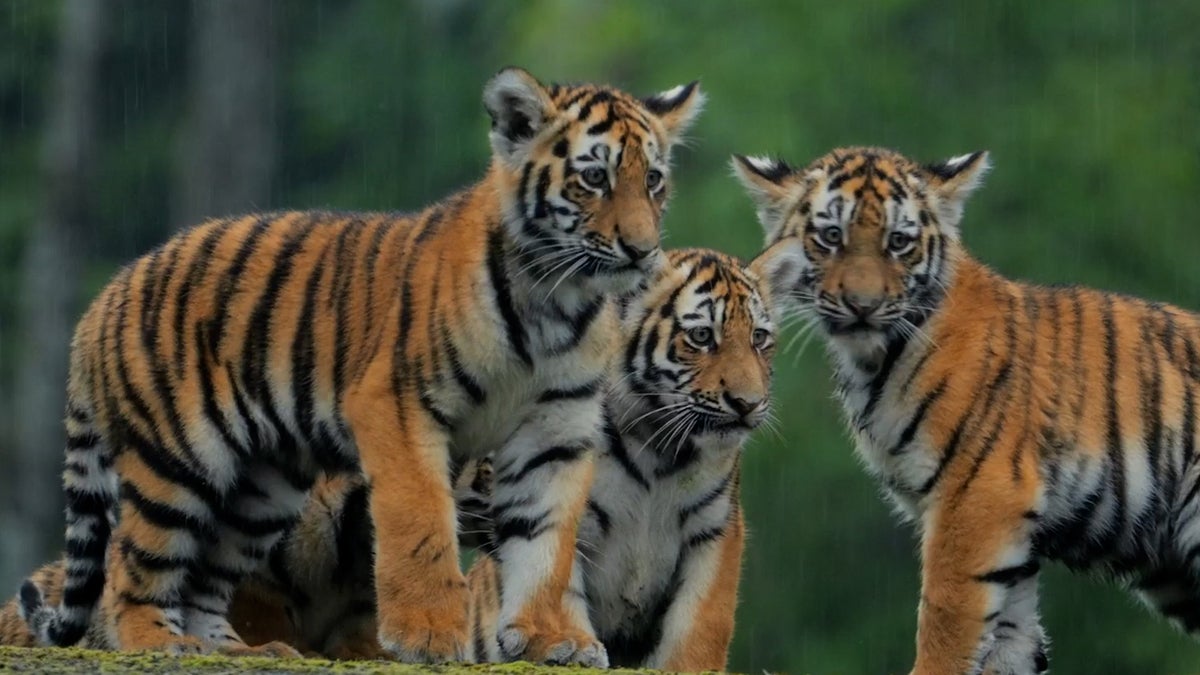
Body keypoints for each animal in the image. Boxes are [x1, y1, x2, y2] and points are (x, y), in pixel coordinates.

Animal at [17, 66, 703, 665]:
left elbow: (547, 542)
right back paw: (162, 644)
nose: (642, 250)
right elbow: (421, 523)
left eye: (654, 181)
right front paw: (428, 636)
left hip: (264, 487)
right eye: (594, 178)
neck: (559, 302)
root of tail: (104, 297)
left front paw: (550, 639)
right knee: (133, 569)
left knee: (208, 578)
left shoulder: (556, 431)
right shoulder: (399, 404)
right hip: (176, 461)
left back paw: (238, 651)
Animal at [465, 246, 790, 672]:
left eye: (759, 338)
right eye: (702, 336)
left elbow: (701, 617)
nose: (747, 404)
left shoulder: (714, 527)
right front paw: (571, 646)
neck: (662, 449)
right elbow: (555, 577)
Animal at [732, 145, 1200, 675]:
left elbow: (947, 616)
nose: (862, 305)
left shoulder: (978, 495)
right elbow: (1011, 637)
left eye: (898, 242)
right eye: (832, 236)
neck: (872, 362)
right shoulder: (1011, 532)